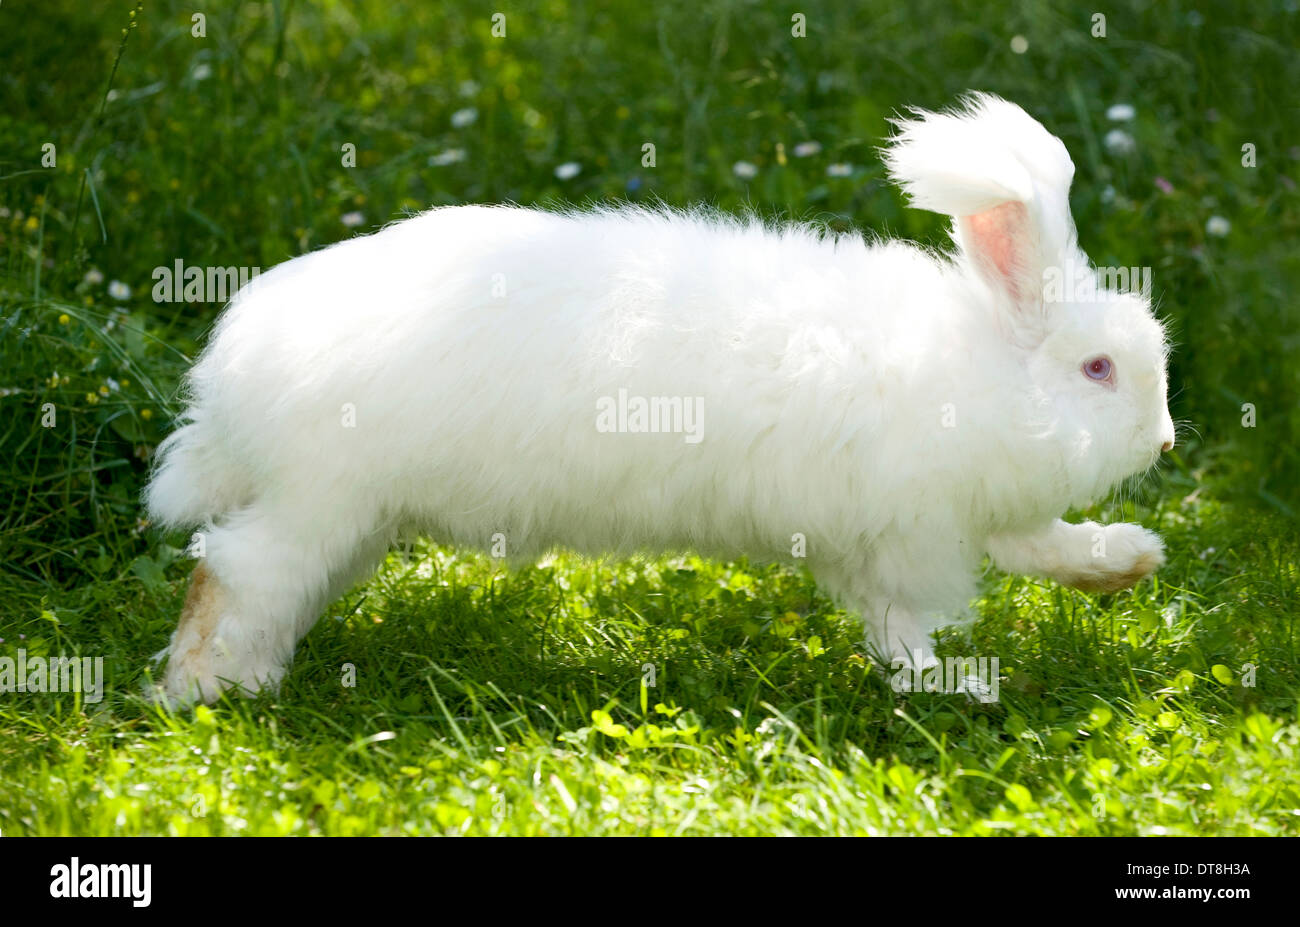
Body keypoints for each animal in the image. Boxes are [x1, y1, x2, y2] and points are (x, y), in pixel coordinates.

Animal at [144, 92, 1174, 706]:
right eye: (1098, 369)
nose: (1163, 440)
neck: (982, 371)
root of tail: (231, 376)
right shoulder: (898, 537)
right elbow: (903, 625)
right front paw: (952, 686)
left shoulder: (962, 517)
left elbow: (1043, 547)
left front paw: (1128, 561)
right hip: (324, 500)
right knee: (227, 569)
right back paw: (203, 692)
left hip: (350, 517)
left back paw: (249, 676)